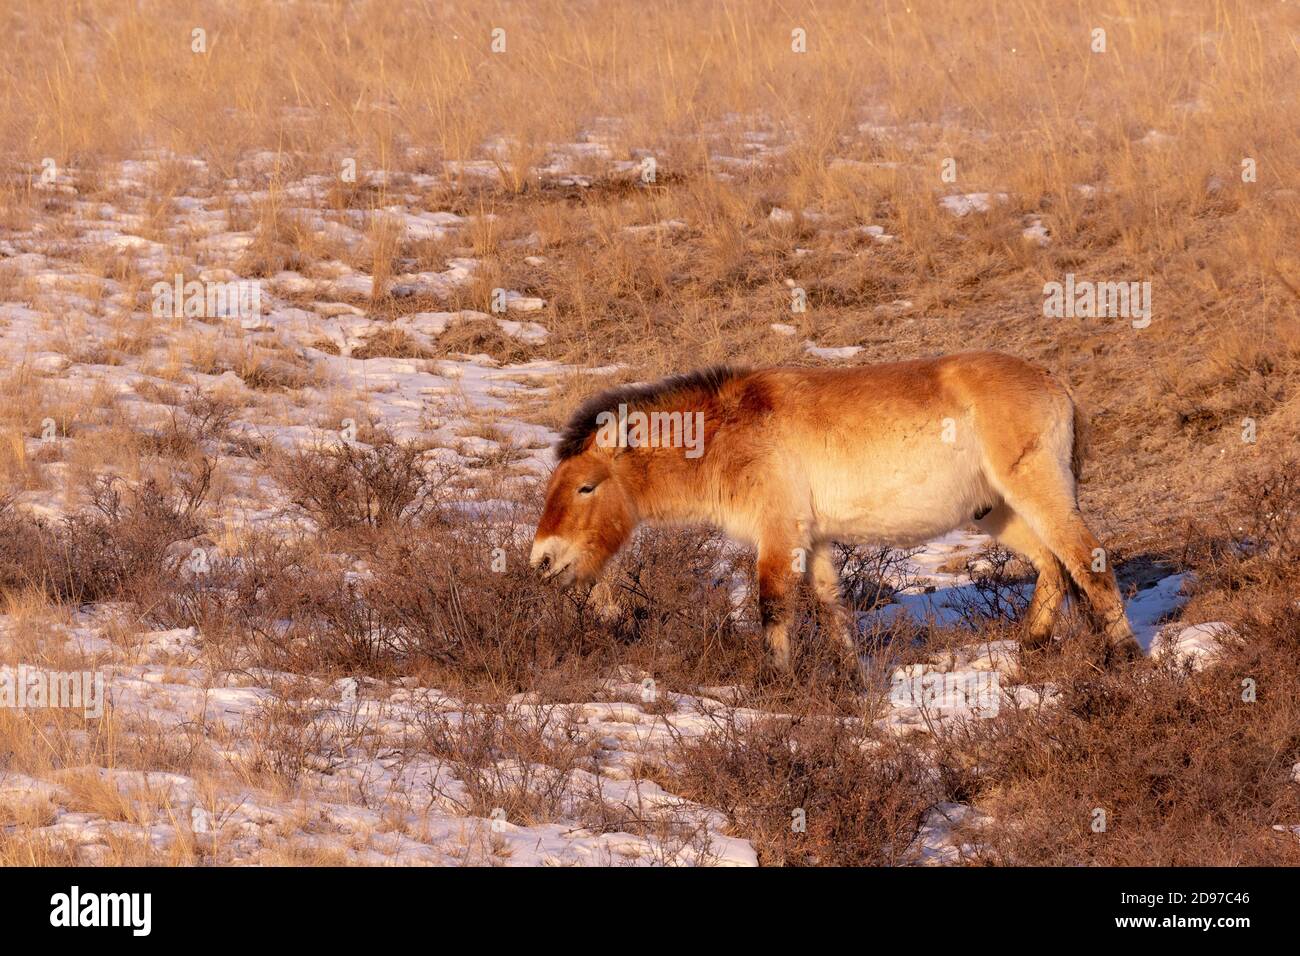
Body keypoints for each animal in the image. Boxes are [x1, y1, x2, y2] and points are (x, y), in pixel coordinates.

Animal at [530, 351, 1140, 672]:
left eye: (585, 487)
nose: (541, 561)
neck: (731, 431)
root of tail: (1055, 382)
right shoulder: (815, 539)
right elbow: (829, 606)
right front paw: (849, 674)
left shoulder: (779, 534)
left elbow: (773, 606)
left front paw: (778, 680)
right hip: (999, 512)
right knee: (1052, 566)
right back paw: (1029, 647)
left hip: (1039, 495)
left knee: (1088, 560)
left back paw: (1128, 654)